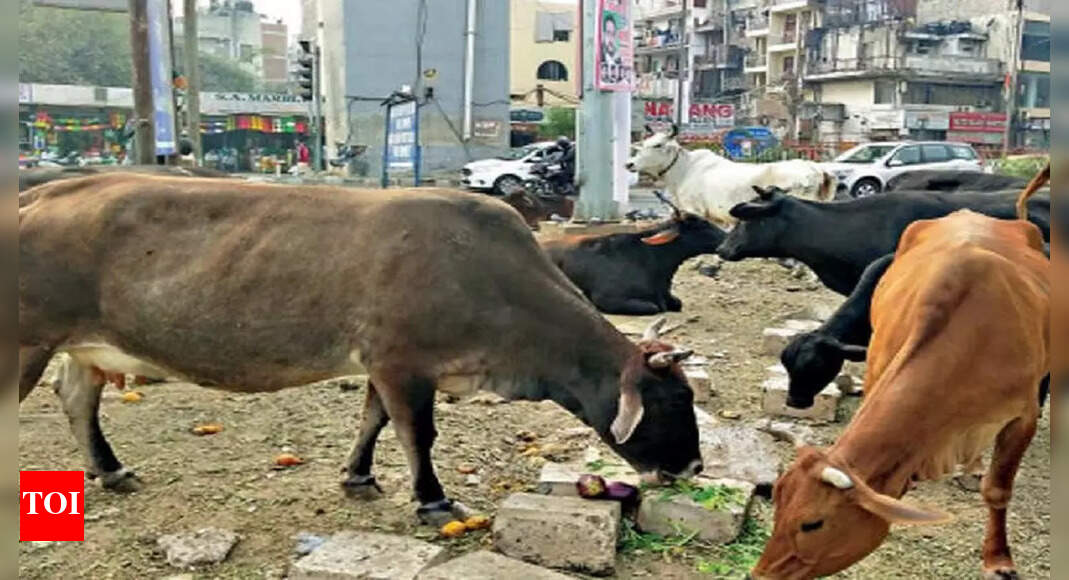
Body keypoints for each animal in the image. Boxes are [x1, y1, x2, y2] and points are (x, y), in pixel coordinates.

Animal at [18, 173, 703, 525]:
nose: (694, 468)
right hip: (25, 341)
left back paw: (110, 469)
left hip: (83, 347)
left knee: (76, 395)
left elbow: (373, 420)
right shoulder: (404, 363)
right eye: (673, 403)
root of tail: (41, 191)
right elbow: (416, 434)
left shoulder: (383, 363)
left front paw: (358, 476)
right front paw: (431, 500)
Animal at [624, 124, 836, 229]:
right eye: (643, 144)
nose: (629, 164)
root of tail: (815, 168)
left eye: (658, 145)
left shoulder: (695, 211)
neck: (684, 169)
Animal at [750, 209, 1048, 580]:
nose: (758, 575)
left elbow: (997, 491)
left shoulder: (1024, 416)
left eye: (812, 524)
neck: (971, 338)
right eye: (776, 502)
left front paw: (998, 560)